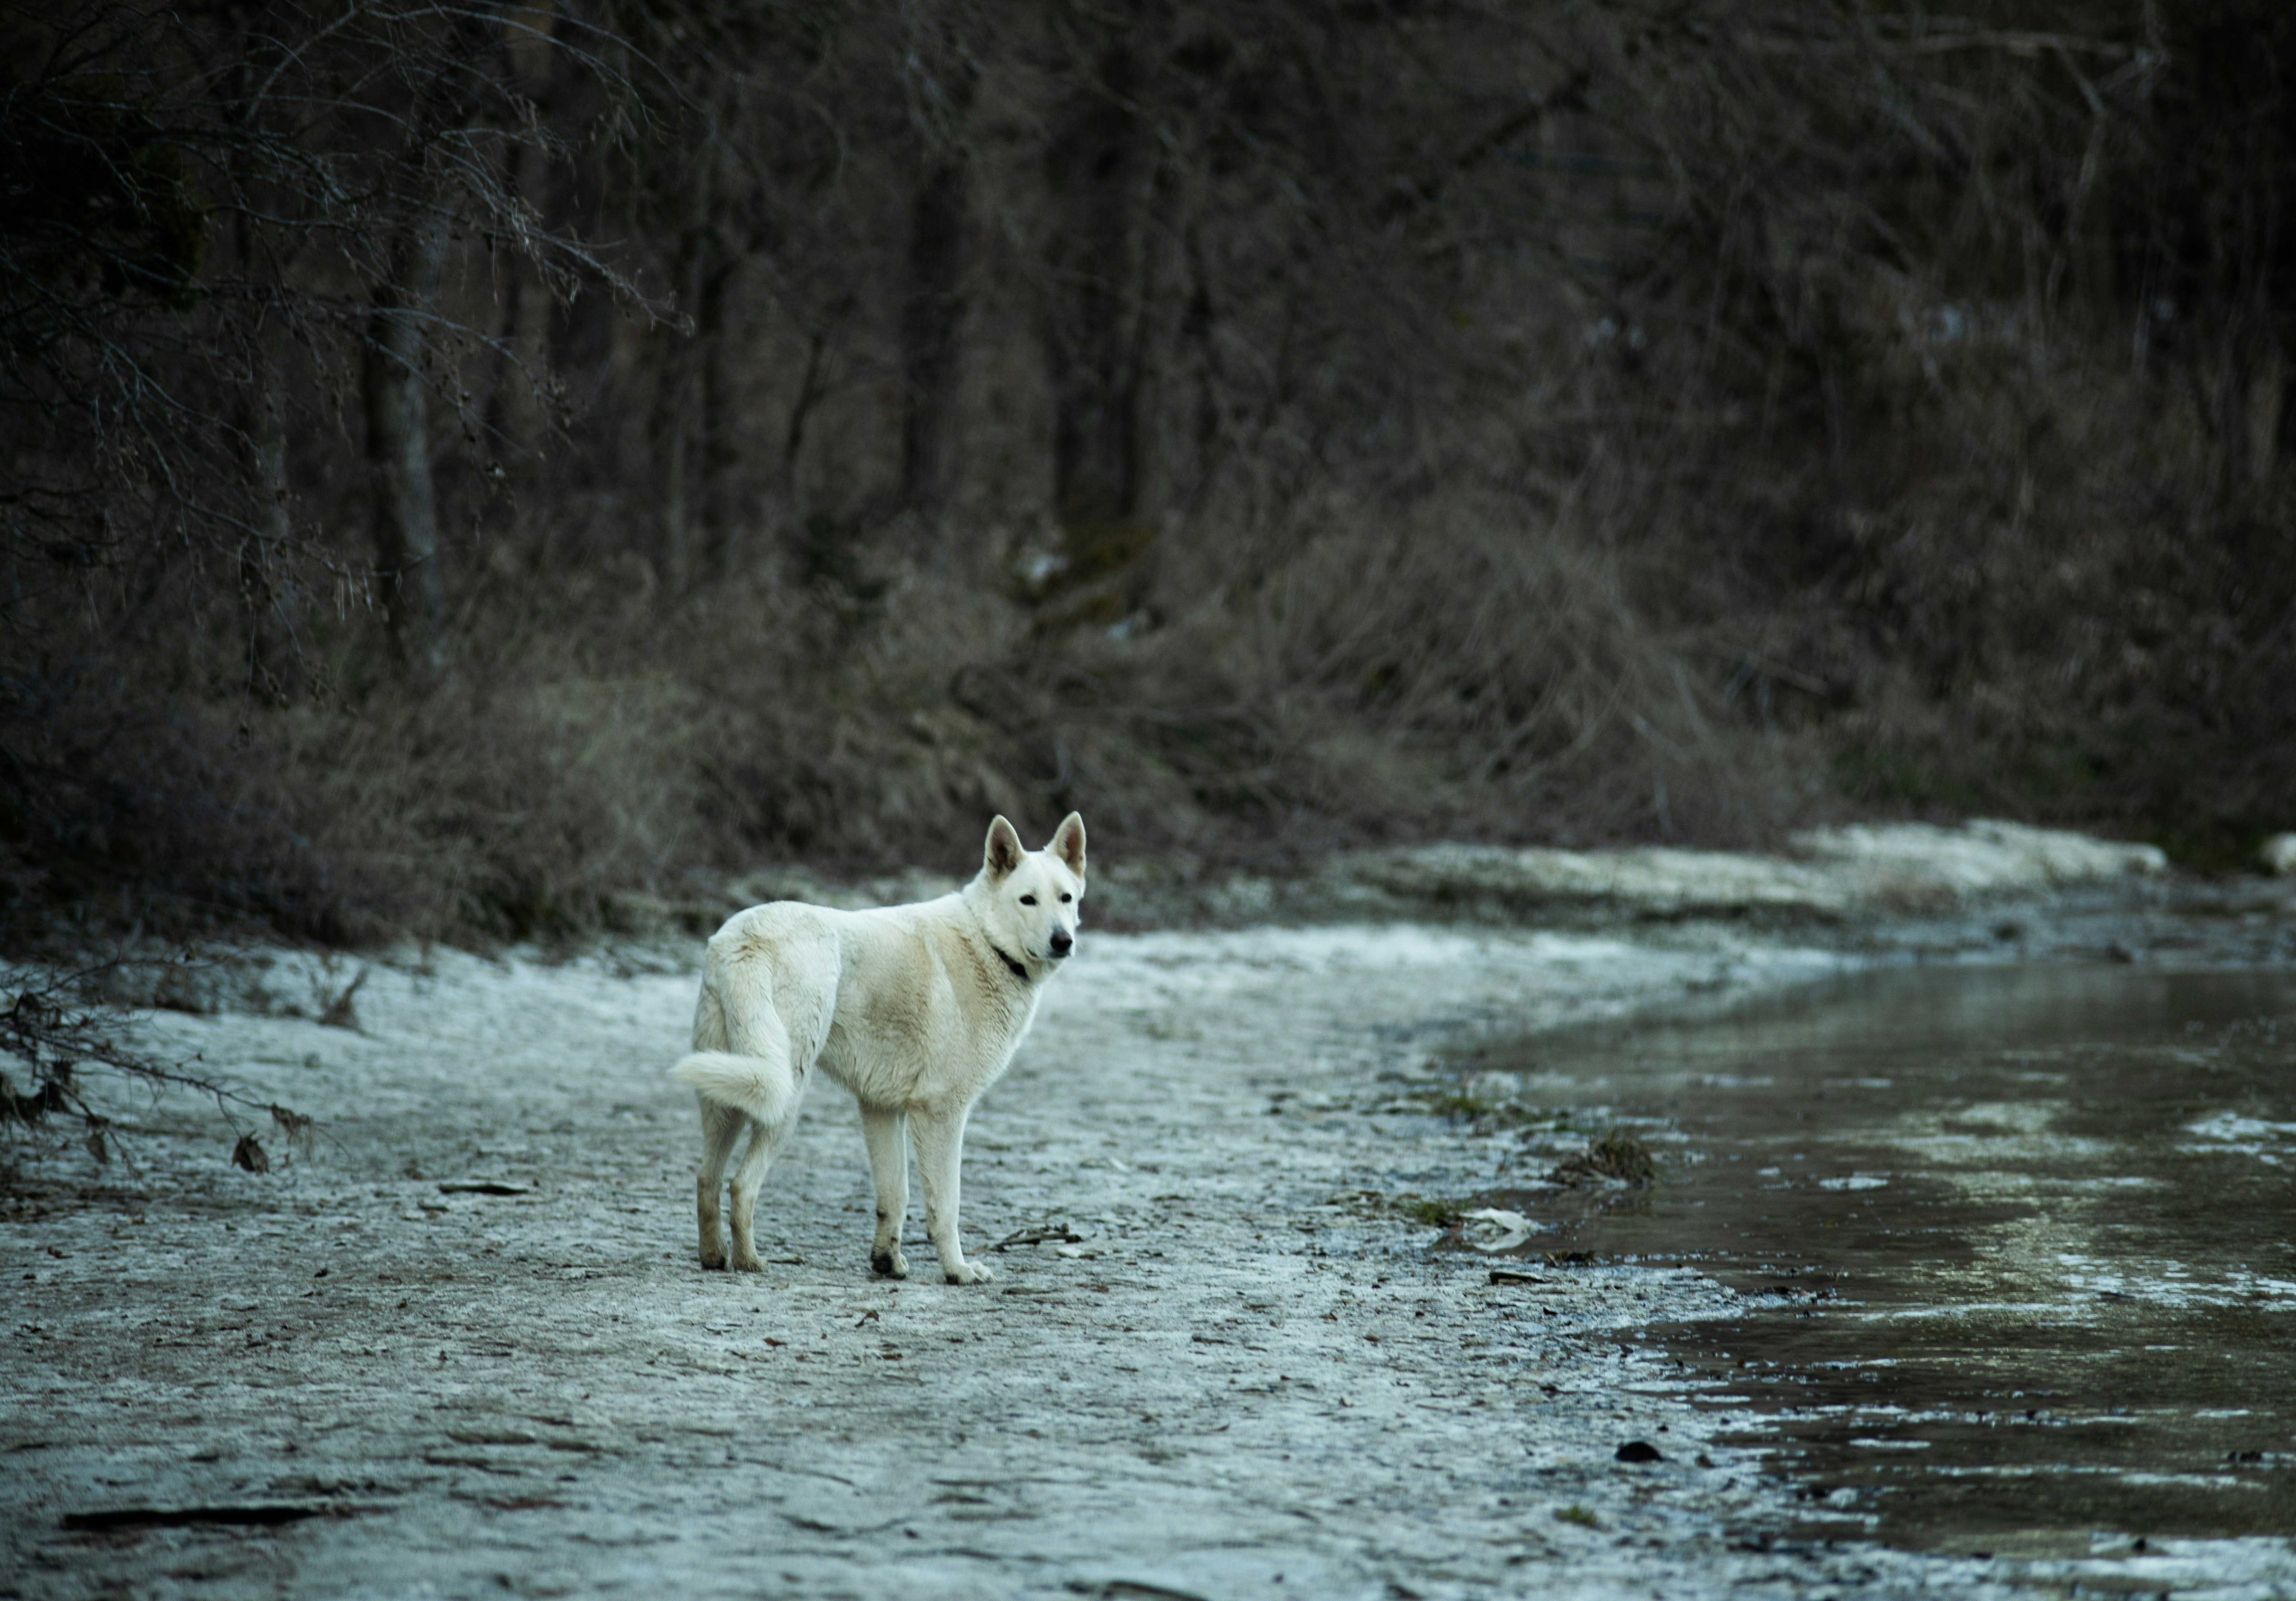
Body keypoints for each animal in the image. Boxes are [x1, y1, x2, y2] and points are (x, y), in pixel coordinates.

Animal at [670, 813, 1086, 1282]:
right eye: (1027, 901)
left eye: (1066, 898)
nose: (1063, 941)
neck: (988, 944)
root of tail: (744, 940)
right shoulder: (942, 1113)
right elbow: (946, 1206)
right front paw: (959, 1270)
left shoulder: (881, 1109)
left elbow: (895, 1196)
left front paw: (887, 1262)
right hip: (783, 1097)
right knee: (741, 1185)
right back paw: (750, 1262)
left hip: (726, 1094)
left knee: (707, 1178)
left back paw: (714, 1256)